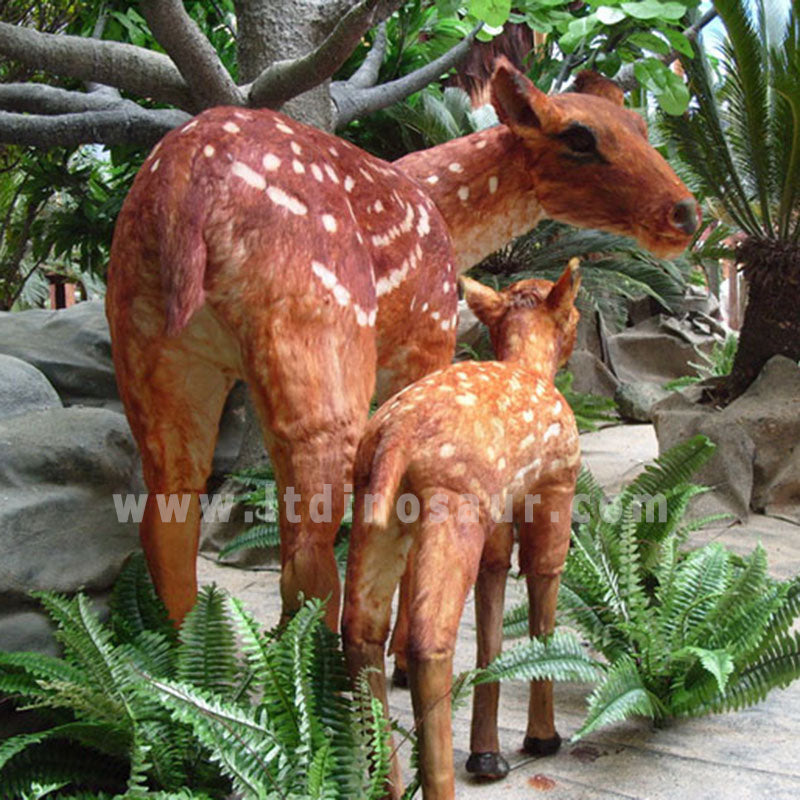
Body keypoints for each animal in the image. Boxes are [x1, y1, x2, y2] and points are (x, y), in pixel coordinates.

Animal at [105, 56, 697, 635]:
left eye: (641, 126)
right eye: (578, 136)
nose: (685, 212)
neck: (448, 223)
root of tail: (183, 184)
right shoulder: (428, 331)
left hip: (147, 340)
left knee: (168, 514)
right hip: (321, 335)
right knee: (308, 548)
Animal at [342, 262, 583, 799]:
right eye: (575, 313)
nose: (578, 330)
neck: (531, 367)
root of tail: (395, 439)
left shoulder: (500, 510)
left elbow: (493, 596)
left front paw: (487, 754)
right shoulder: (556, 484)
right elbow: (544, 583)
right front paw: (542, 738)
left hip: (376, 511)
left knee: (361, 629)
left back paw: (388, 785)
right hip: (453, 503)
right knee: (430, 639)